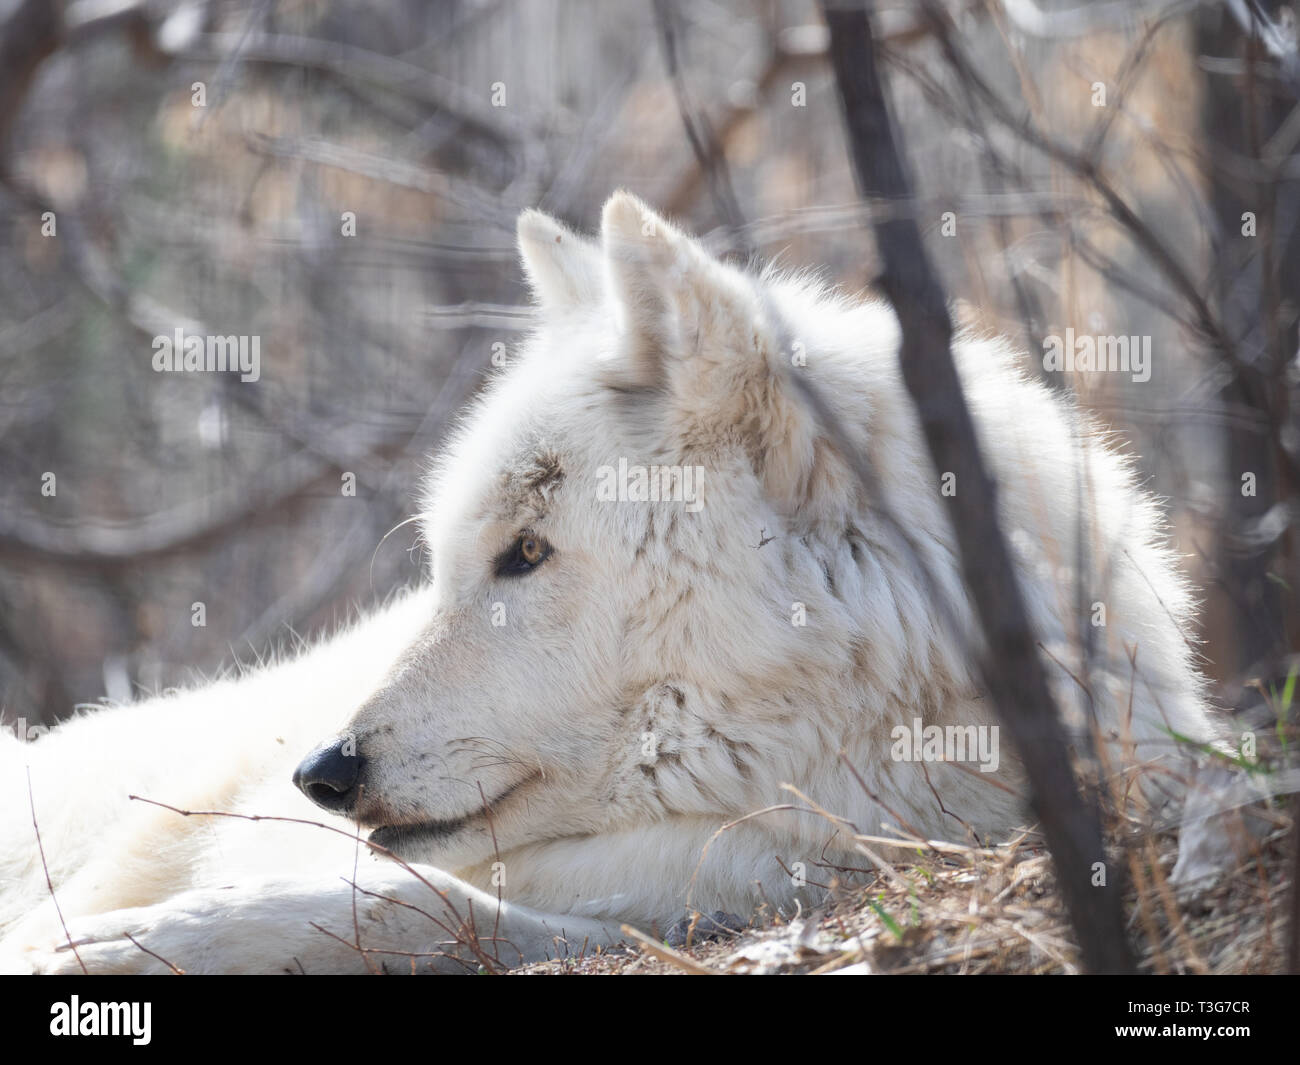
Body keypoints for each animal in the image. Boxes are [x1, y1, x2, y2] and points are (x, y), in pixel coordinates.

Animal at [0, 192, 1218, 974]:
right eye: (448, 561)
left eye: (526, 553)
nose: (322, 773)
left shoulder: (722, 893)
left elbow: (429, 909)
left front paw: (149, 945)